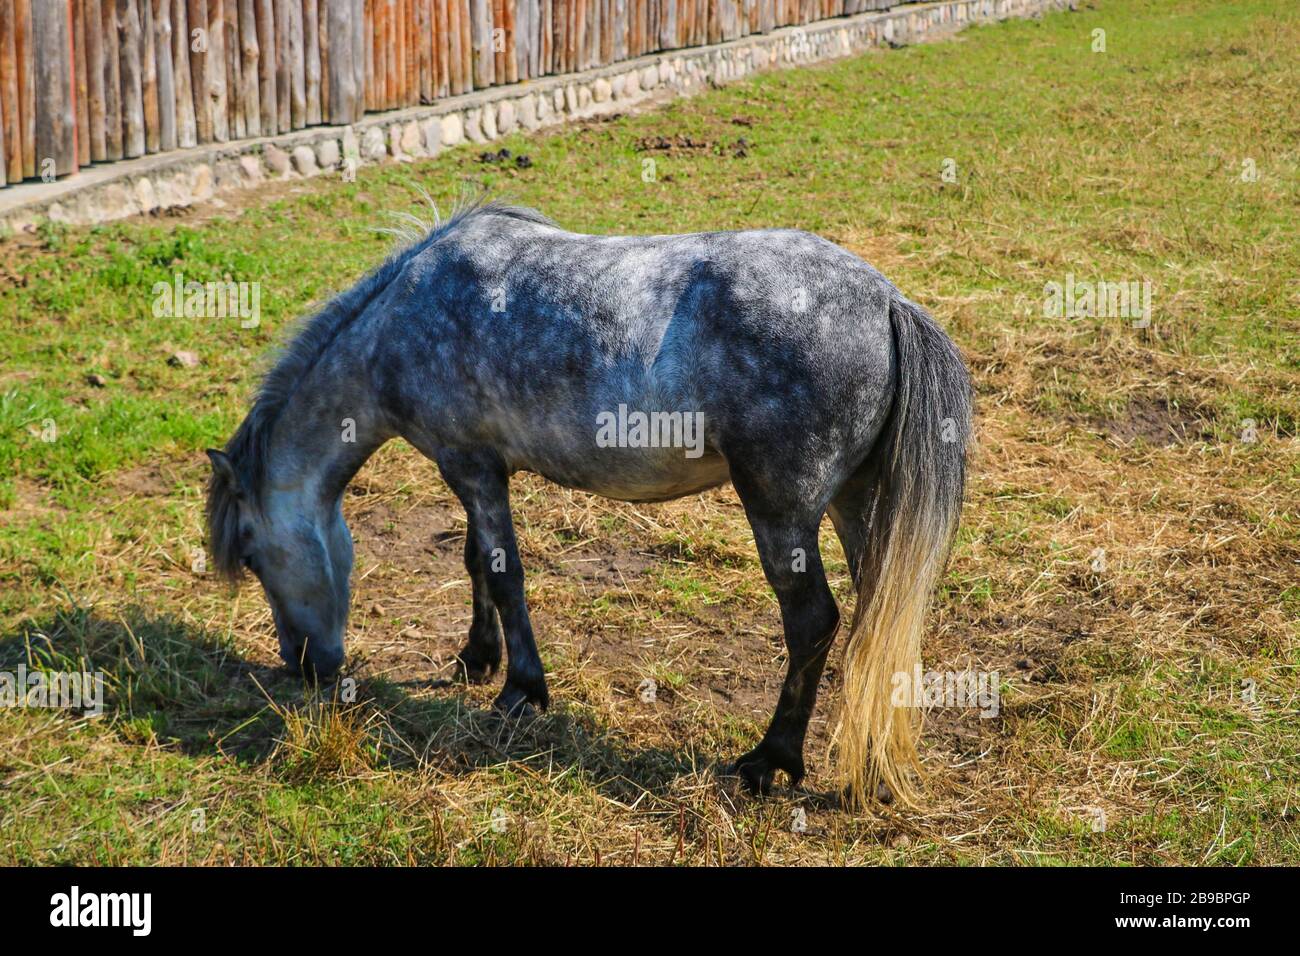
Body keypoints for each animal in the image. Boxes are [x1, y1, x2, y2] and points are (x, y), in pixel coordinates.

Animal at [205, 199, 972, 807]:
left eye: (251, 554)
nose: (301, 664)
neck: (401, 317)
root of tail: (887, 302)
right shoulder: (477, 472)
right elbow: (475, 562)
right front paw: (476, 658)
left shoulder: (470, 466)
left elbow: (504, 574)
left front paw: (521, 689)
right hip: (852, 499)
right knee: (877, 608)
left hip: (781, 512)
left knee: (813, 622)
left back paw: (770, 761)